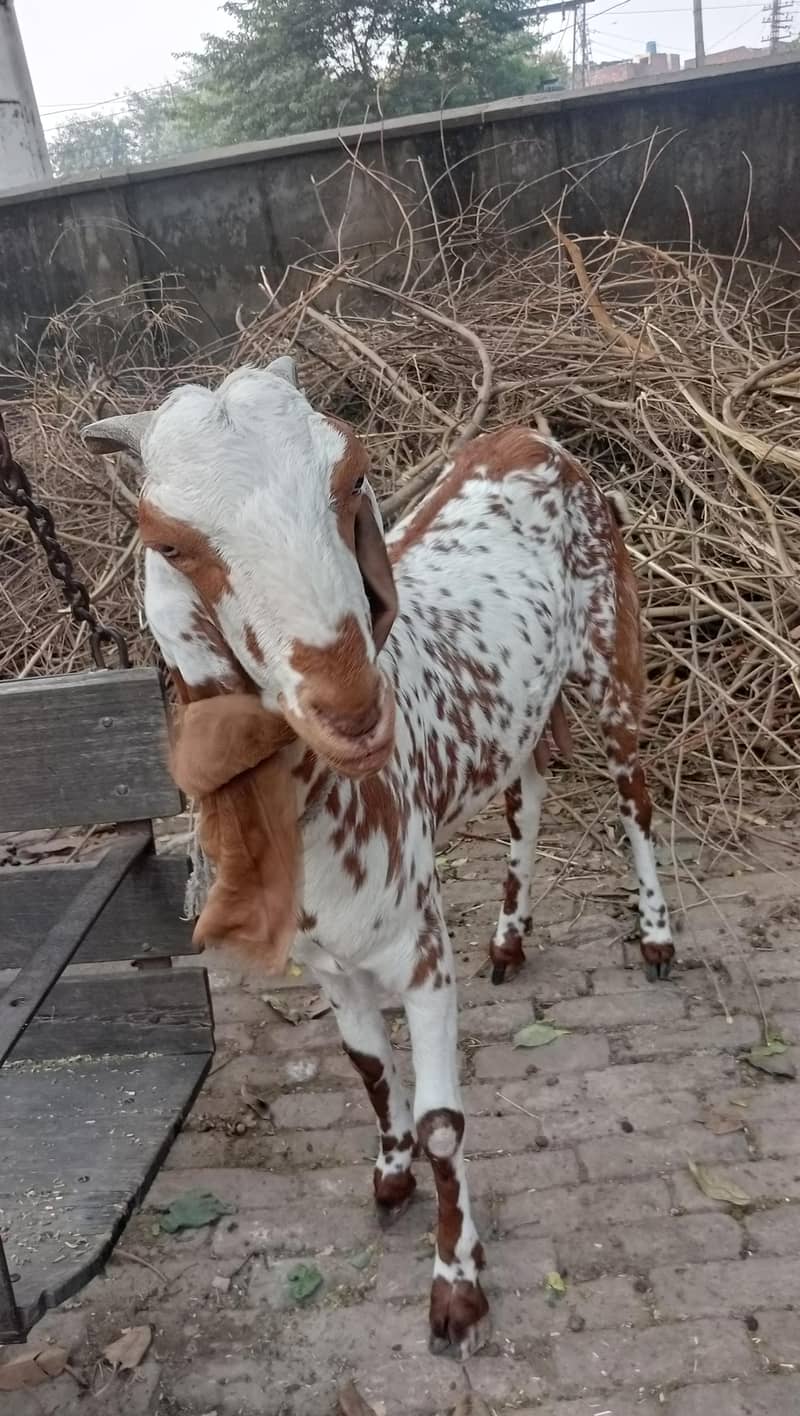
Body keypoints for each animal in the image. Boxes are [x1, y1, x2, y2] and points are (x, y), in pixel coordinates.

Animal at [83, 360, 673, 1359]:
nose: (352, 707)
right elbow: (365, 1068)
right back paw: (510, 938)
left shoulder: (420, 956)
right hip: (518, 717)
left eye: (351, 475)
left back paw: (659, 936)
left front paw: (457, 1288)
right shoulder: (331, 965)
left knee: (633, 790)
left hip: (611, 652)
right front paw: (389, 1176)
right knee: (527, 791)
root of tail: (530, 435)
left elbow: (442, 1123)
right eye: (164, 538)